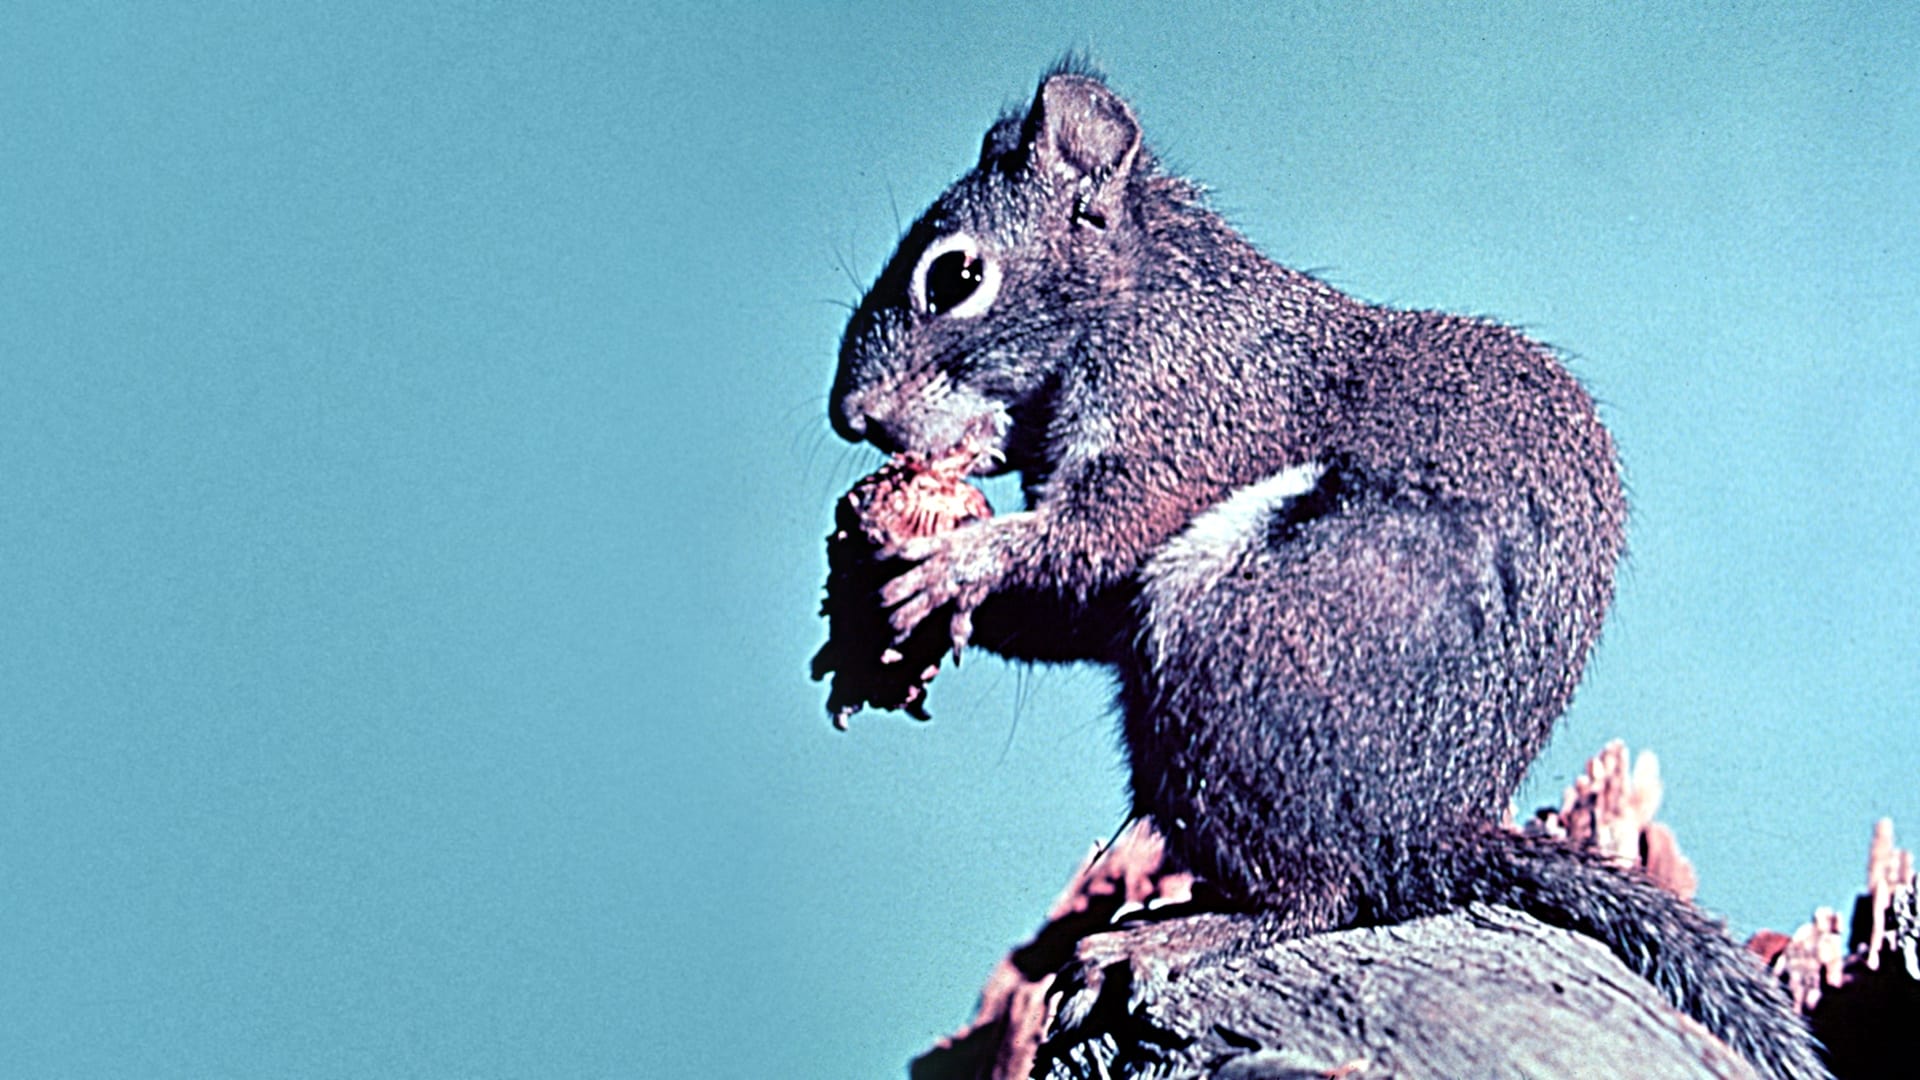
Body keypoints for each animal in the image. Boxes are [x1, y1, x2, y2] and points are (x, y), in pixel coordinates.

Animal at [826, 63, 1827, 1079]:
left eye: (954, 275)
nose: (851, 414)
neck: (1137, 300)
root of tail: (1422, 832)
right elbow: (1070, 612)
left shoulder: (1182, 419)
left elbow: (1097, 539)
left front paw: (953, 564)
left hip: (1222, 651)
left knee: (1321, 895)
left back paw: (1161, 940)